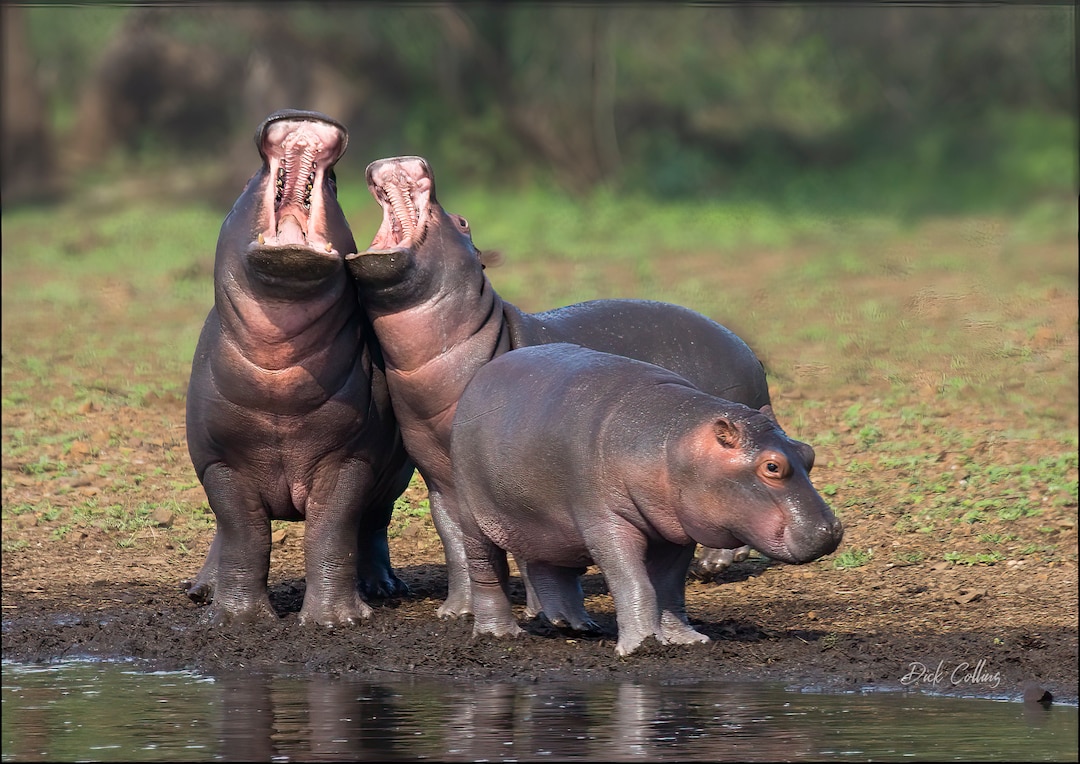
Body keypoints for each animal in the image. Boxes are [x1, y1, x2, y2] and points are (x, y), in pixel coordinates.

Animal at [184, 110, 412, 626]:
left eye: (334, 181)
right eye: (246, 179)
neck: (278, 361)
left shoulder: (350, 459)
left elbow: (331, 531)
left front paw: (336, 619)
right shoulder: (221, 462)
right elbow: (243, 533)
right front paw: (237, 618)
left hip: (389, 482)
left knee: (371, 528)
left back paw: (382, 588)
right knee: (222, 532)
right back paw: (201, 591)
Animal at [346, 156, 766, 620]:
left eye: (463, 221)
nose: (407, 159)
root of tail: (746, 349)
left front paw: (539, 612)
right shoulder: (440, 479)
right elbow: (456, 544)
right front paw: (456, 612)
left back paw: (712, 564)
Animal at [452, 343, 843, 656]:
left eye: (807, 453)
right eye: (772, 466)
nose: (832, 529)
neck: (671, 442)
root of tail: (481, 377)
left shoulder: (676, 530)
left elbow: (669, 586)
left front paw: (687, 640)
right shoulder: (606, 523)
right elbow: (633, 580)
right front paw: (642, 645)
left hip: (541, 518)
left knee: (548, 565)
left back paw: (574, 625)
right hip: (475, 516)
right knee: (487, 567)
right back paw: (500, 634)